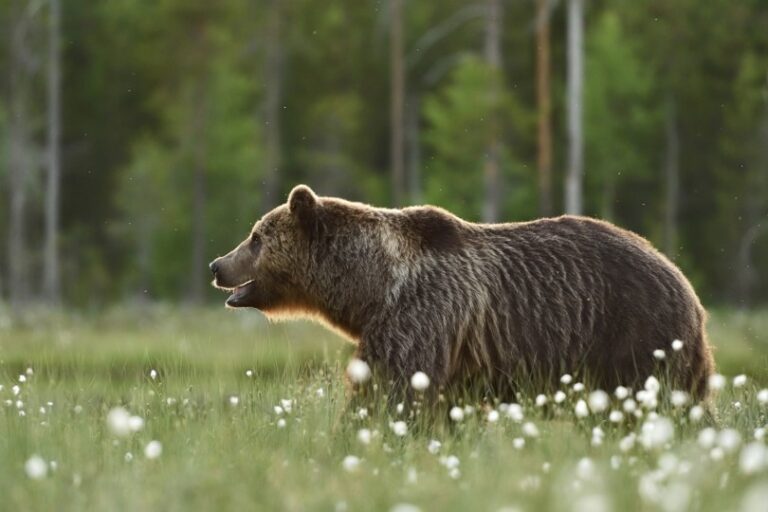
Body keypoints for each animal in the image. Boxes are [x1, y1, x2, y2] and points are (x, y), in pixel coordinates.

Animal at [210, 185, 715, 402]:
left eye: (256, 237)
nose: (217, 265)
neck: (372, 287)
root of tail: (687, 284)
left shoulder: (422, 312)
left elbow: (394, 383)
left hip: (635, 331)